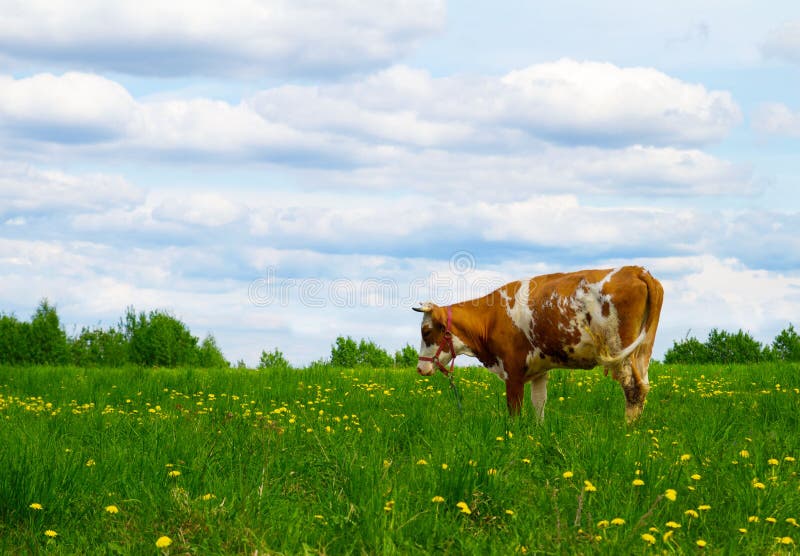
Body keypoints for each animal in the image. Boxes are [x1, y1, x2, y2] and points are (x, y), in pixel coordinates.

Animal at [413, 266, 663, 422]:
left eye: (426, 331)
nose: (420, 367)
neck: (491, 317)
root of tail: (636, 270)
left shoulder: (512, 371)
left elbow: (515, 410)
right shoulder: (539, 370)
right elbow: (539, 404)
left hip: (620, 349)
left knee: (632, 388)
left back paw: (626, 431)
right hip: (643, 350)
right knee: (643, 386)